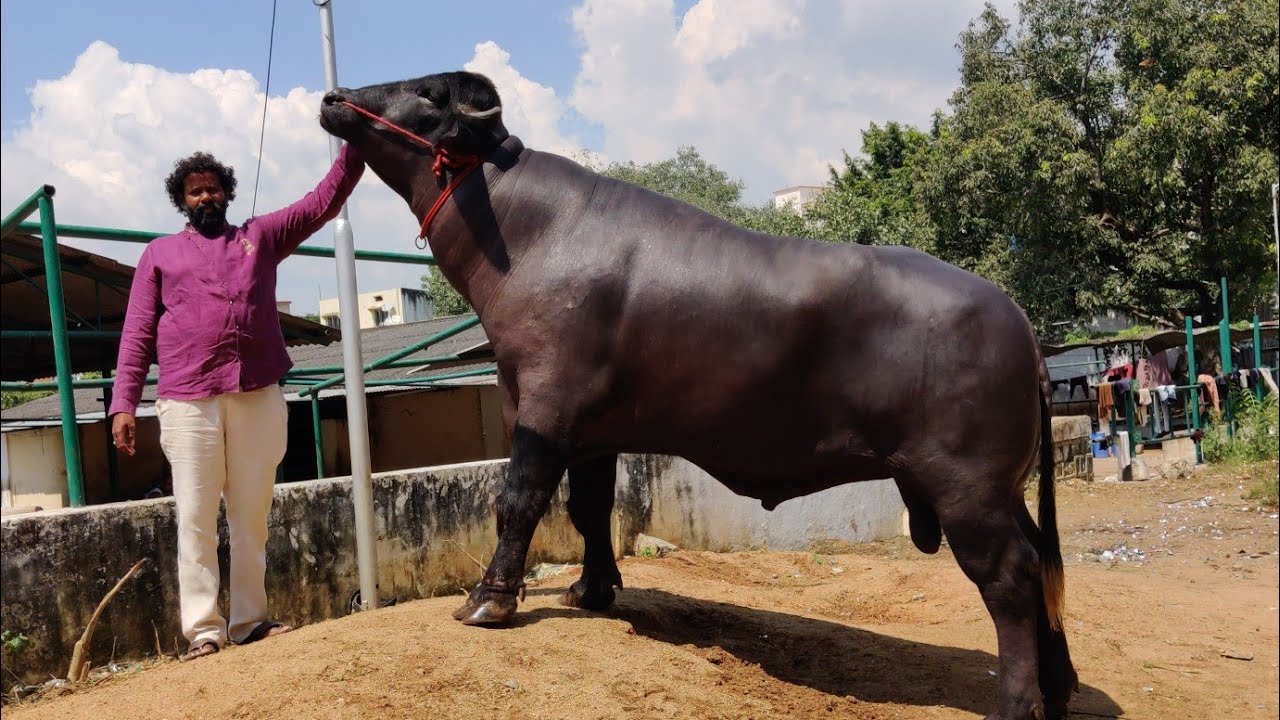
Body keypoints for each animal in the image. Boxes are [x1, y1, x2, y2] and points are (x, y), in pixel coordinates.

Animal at [319, 70, 1077, 720]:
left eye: (427, 93)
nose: (332, 97)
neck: (528, 234)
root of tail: (1018, 321)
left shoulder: (541, 406)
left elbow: (520, 501)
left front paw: (488, 602)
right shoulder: (592, 432)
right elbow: (589, 510)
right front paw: (593, 590)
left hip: (966, 485)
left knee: (1010, 576)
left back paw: (1019, 702)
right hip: (1002, 488)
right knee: (1042, 560)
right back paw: (1061, 686)